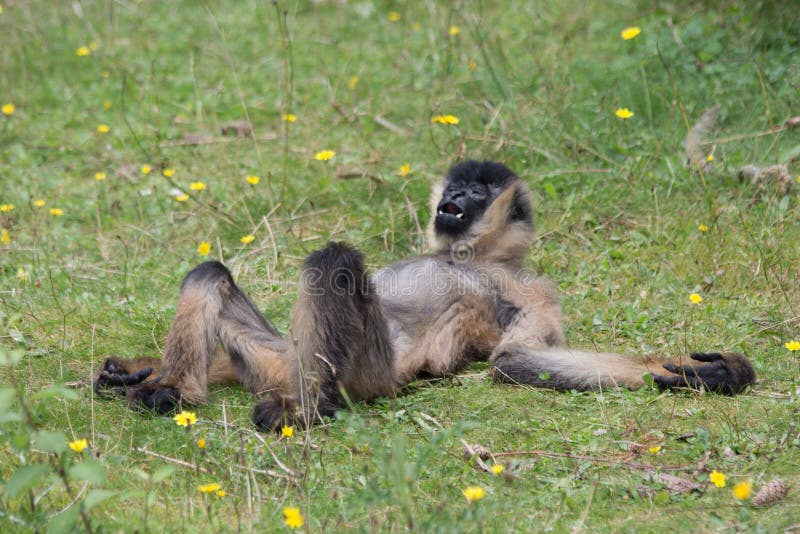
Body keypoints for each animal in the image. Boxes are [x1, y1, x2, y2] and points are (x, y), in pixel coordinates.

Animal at [95, 160, 756, 430]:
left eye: (478, 192)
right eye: (456, 187)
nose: (456, 199)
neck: (470, 258)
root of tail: (294, 373)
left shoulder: (532, 287)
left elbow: (514, 358)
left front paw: (709, 374)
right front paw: (136, 368)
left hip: (362, 372)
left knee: (334, 264)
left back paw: (307, 411)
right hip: (275, 355)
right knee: (210, 275)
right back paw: (168, 386)